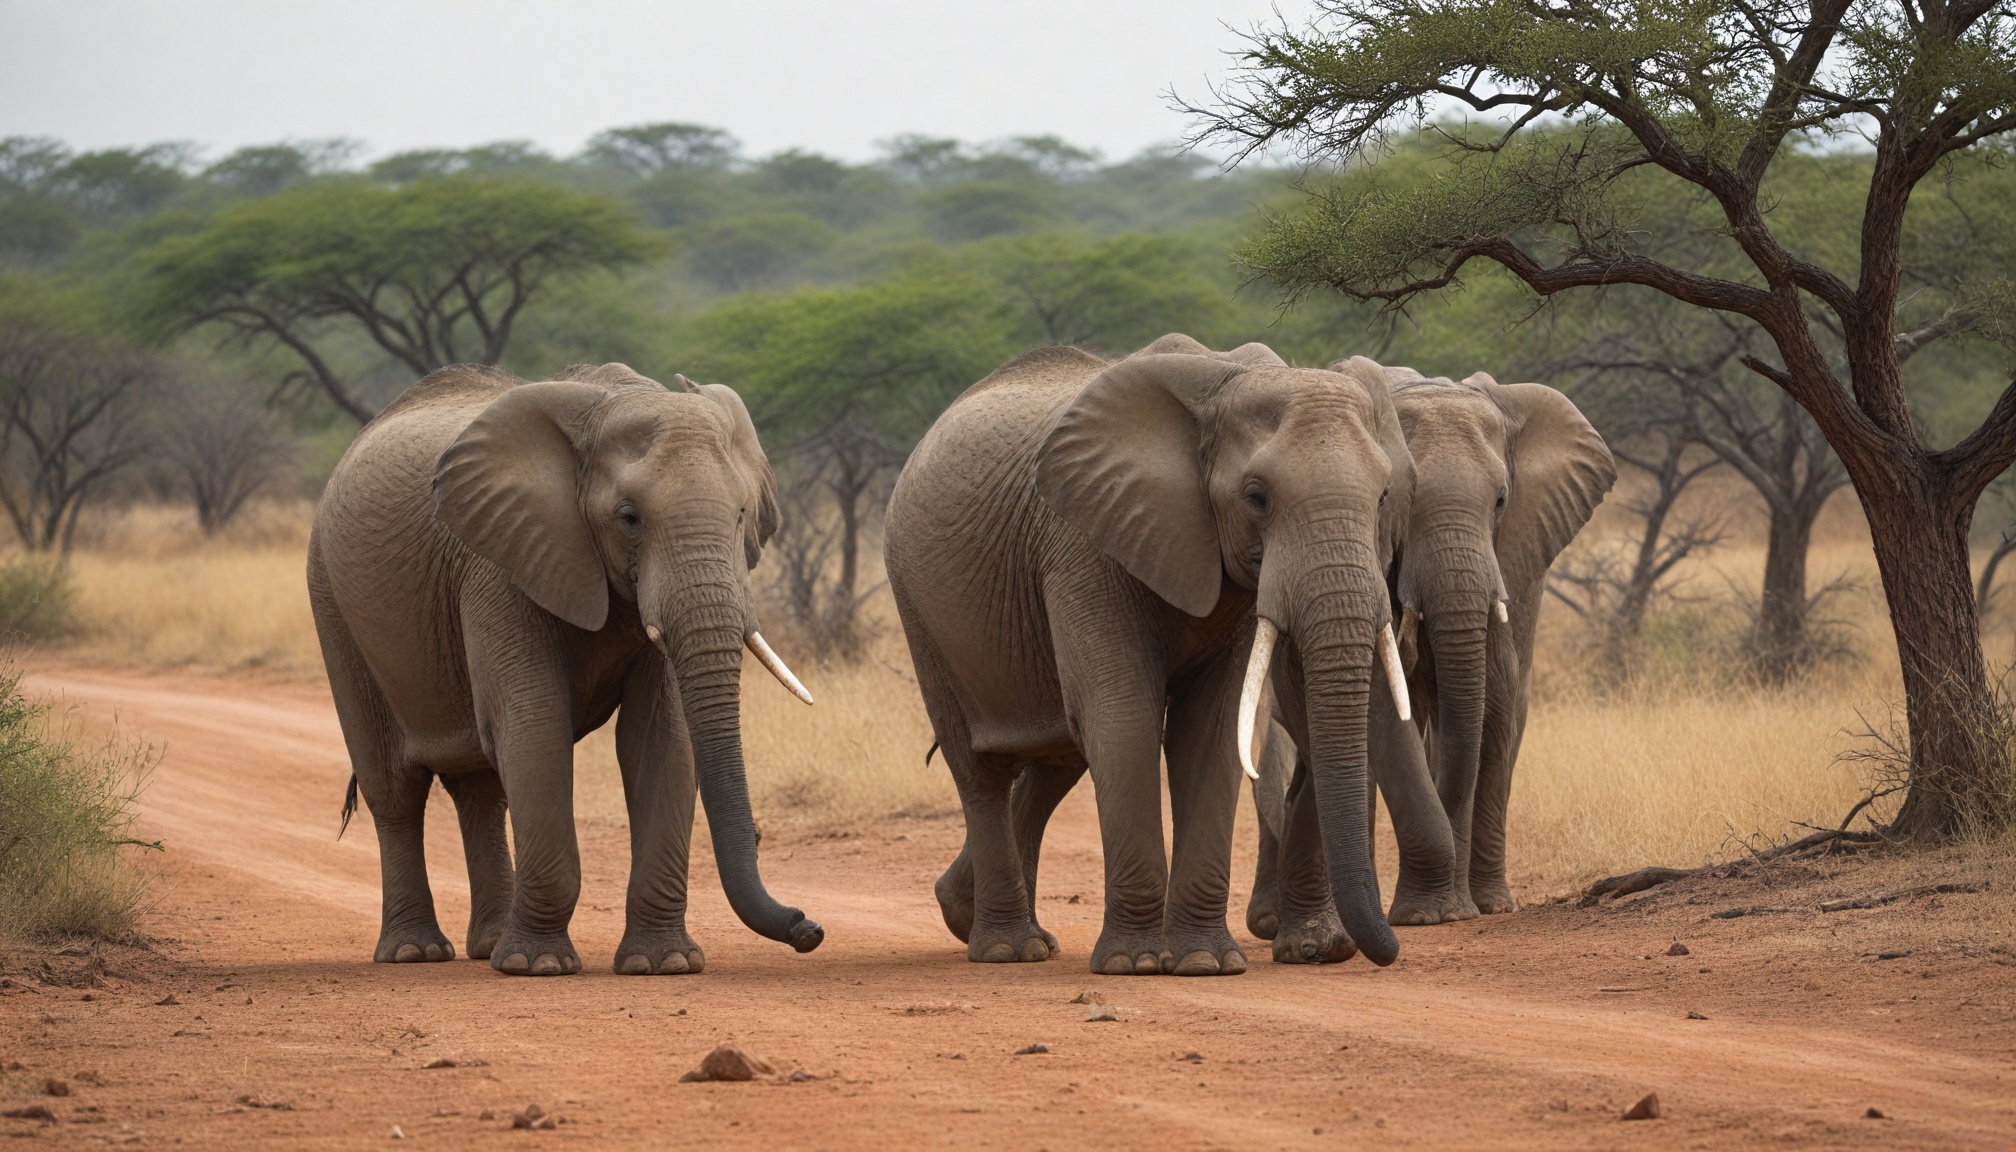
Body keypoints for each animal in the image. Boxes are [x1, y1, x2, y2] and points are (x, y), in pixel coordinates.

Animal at [308, 365, 826, 976]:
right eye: (629, 518)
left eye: (742, 513)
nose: (808, 928)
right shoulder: (499, 563)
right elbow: (535, 724)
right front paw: (538, 966)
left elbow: (661, 738)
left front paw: (665, 964)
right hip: (331, 600)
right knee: (394, 789)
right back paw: (417, 952)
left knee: (480, 790)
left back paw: (487, 946)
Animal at [891, 332, 1427, 972]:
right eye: (1257, 497)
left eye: (1384, 497)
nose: (1388, 950)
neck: (1225, 380)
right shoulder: (1085, 542)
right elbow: (1123, 716)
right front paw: (1137, 964)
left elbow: (1212, 727)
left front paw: (1205, 964)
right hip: (919, 604)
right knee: (982, 769)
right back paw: (1007, 948)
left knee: (1057, 758)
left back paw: (967, 915)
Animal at [1241, 361, 1620, 928]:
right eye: (1404, 499)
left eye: (1501, 501)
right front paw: (1426, 913)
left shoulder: (1507, 566)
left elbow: (1494, 704)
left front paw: (1470, 909)